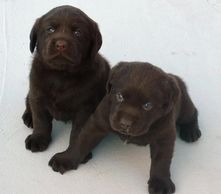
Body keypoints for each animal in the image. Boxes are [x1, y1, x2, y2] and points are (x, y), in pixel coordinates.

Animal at [22, 6, 110, 163]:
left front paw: (74, 154)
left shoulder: (85, 108)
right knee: (28, 100)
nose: (61, 45)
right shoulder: (37, 94)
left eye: (77, 32)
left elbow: (79, 132)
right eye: (50, 29)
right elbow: (40, 120)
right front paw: (38, 138)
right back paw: (28, 117)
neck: (61, 75)